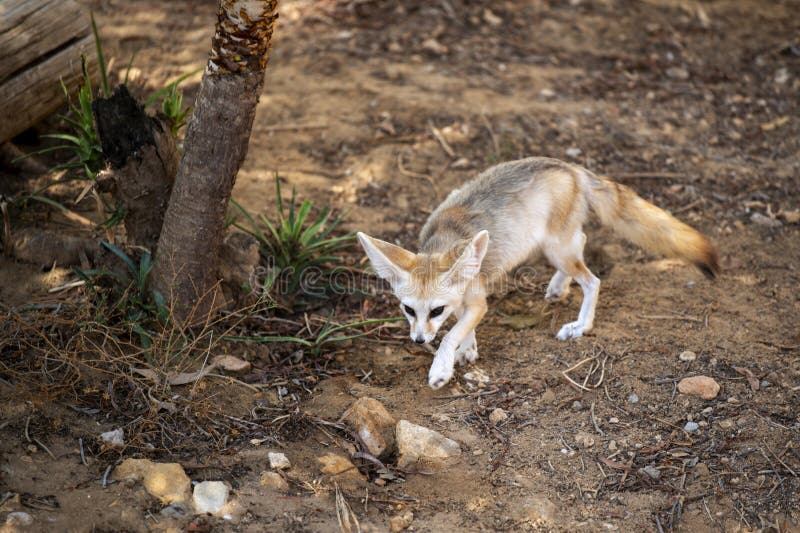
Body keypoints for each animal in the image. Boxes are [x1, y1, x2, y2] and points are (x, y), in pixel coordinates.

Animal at [357, 157, 719, 390]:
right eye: (408, 310)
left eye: (435, 311)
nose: (418, 340)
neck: (443, 240)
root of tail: (571, 167)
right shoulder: (466, 302)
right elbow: (462, 328)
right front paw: (468, 349)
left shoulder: (477, 301)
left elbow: (450, 333)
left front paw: (442, 367)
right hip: (553, 245)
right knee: (582, 242)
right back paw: (559, 286)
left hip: (556, 248)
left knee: (592, 279)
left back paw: (581, 324)